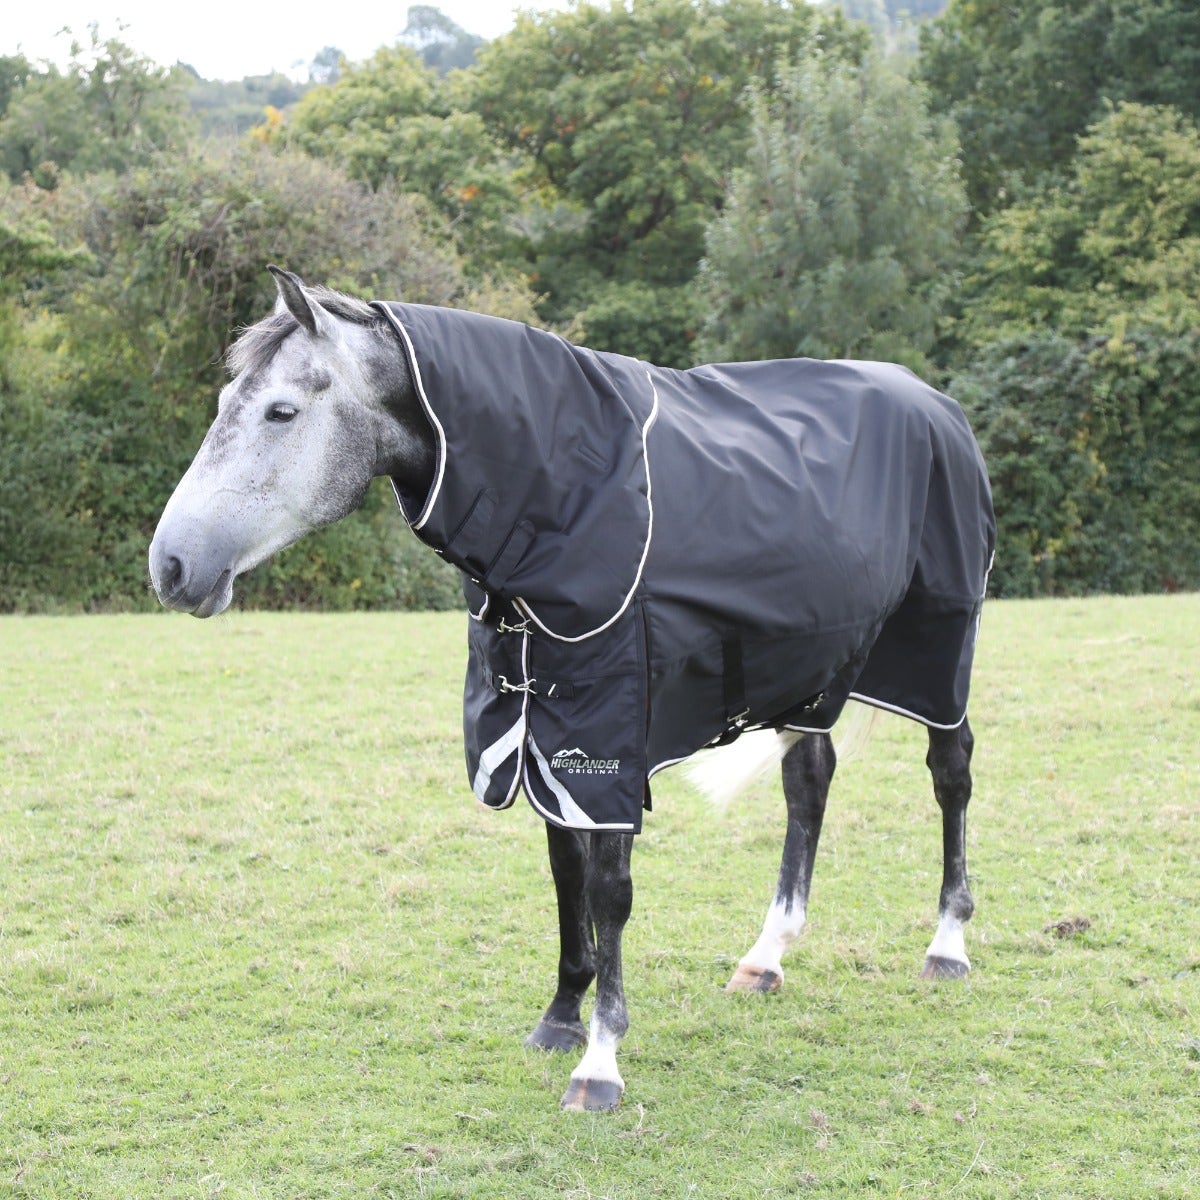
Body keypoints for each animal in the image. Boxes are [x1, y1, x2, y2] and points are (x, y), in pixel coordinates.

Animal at [149, 267, 995, 1111]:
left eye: (280, 410)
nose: (171, 566)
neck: (567, 488)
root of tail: (938, 405)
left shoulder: (610, 732)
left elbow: (611, 889)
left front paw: (600, 1059)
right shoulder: (540, 724)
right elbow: (567, 873)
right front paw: (560, 1015)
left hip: (939, 647)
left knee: (951, 773)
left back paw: (947, 943)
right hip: (816, 669)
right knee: (809, 784)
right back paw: (767, 955)